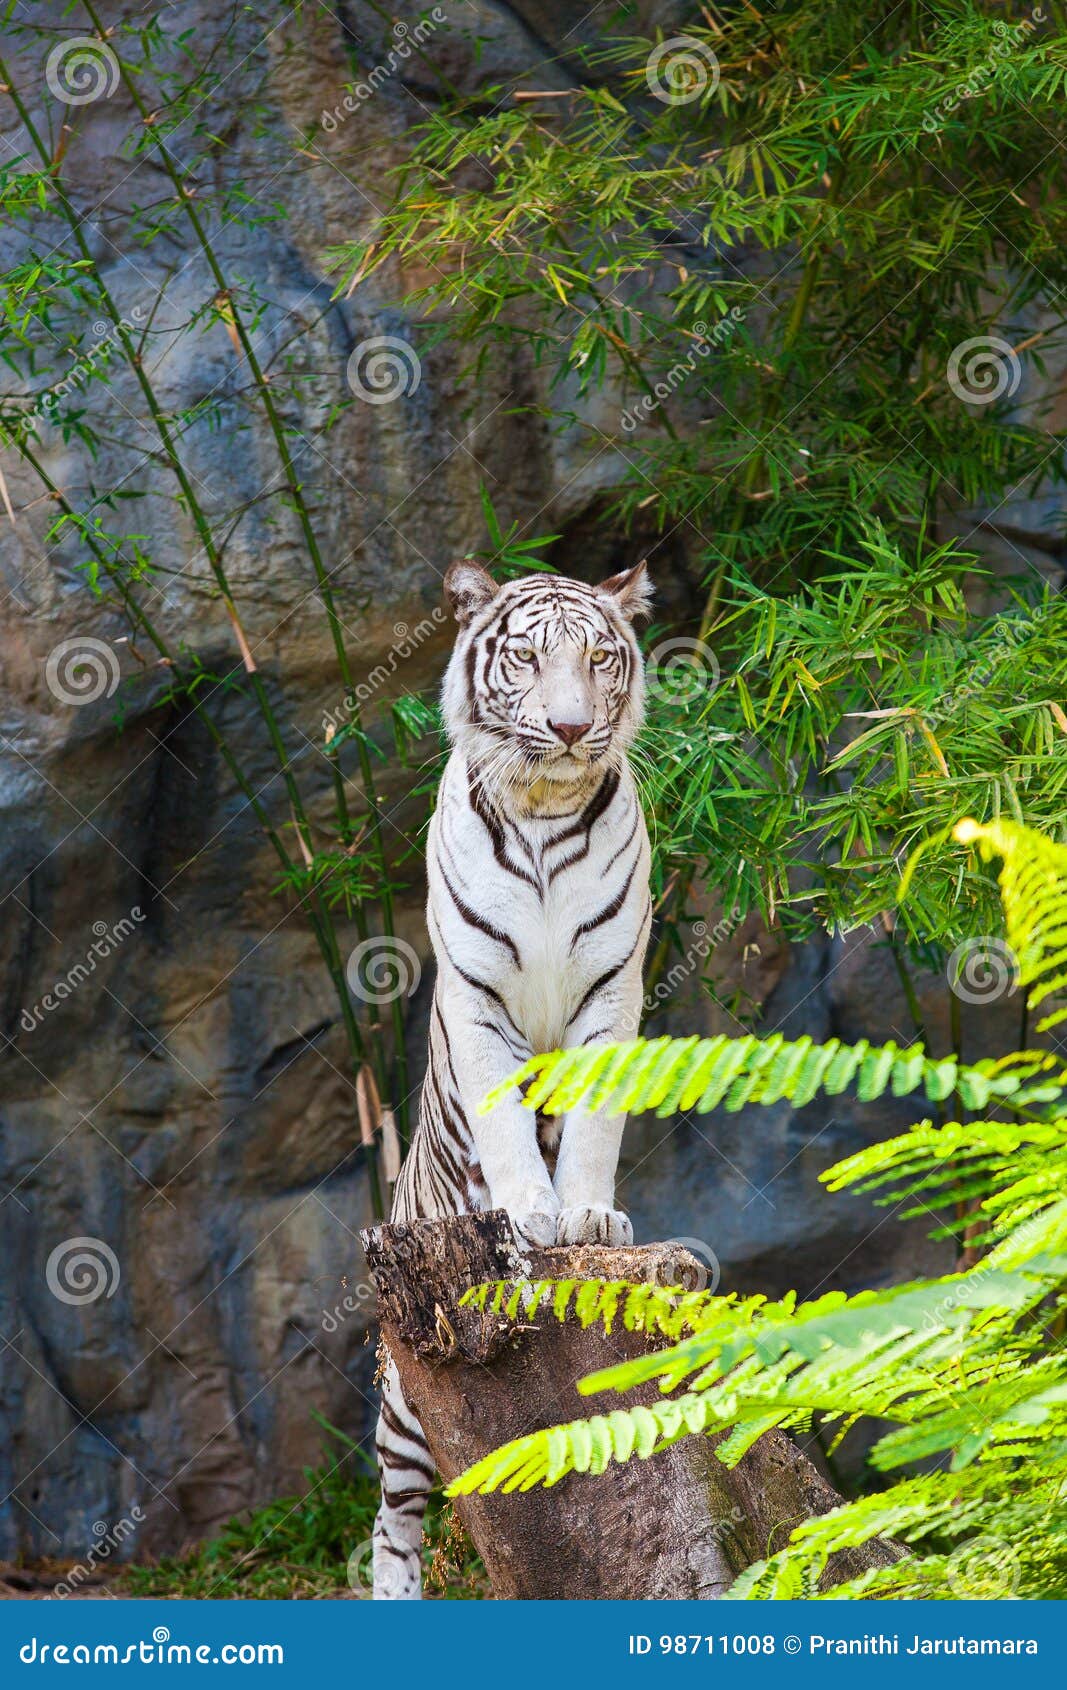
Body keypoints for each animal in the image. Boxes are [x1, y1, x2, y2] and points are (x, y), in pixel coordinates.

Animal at [371, 558, 654, 1599]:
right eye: (527, 658)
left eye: (600, 657)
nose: (570, 727)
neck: (542, 806)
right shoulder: (474, 990)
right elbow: (500, 1118)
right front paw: (532, 1214)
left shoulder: (614, 985)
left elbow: (595, 1122)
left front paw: (588, 1217)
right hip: (403, 1399)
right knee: (396, 1518)